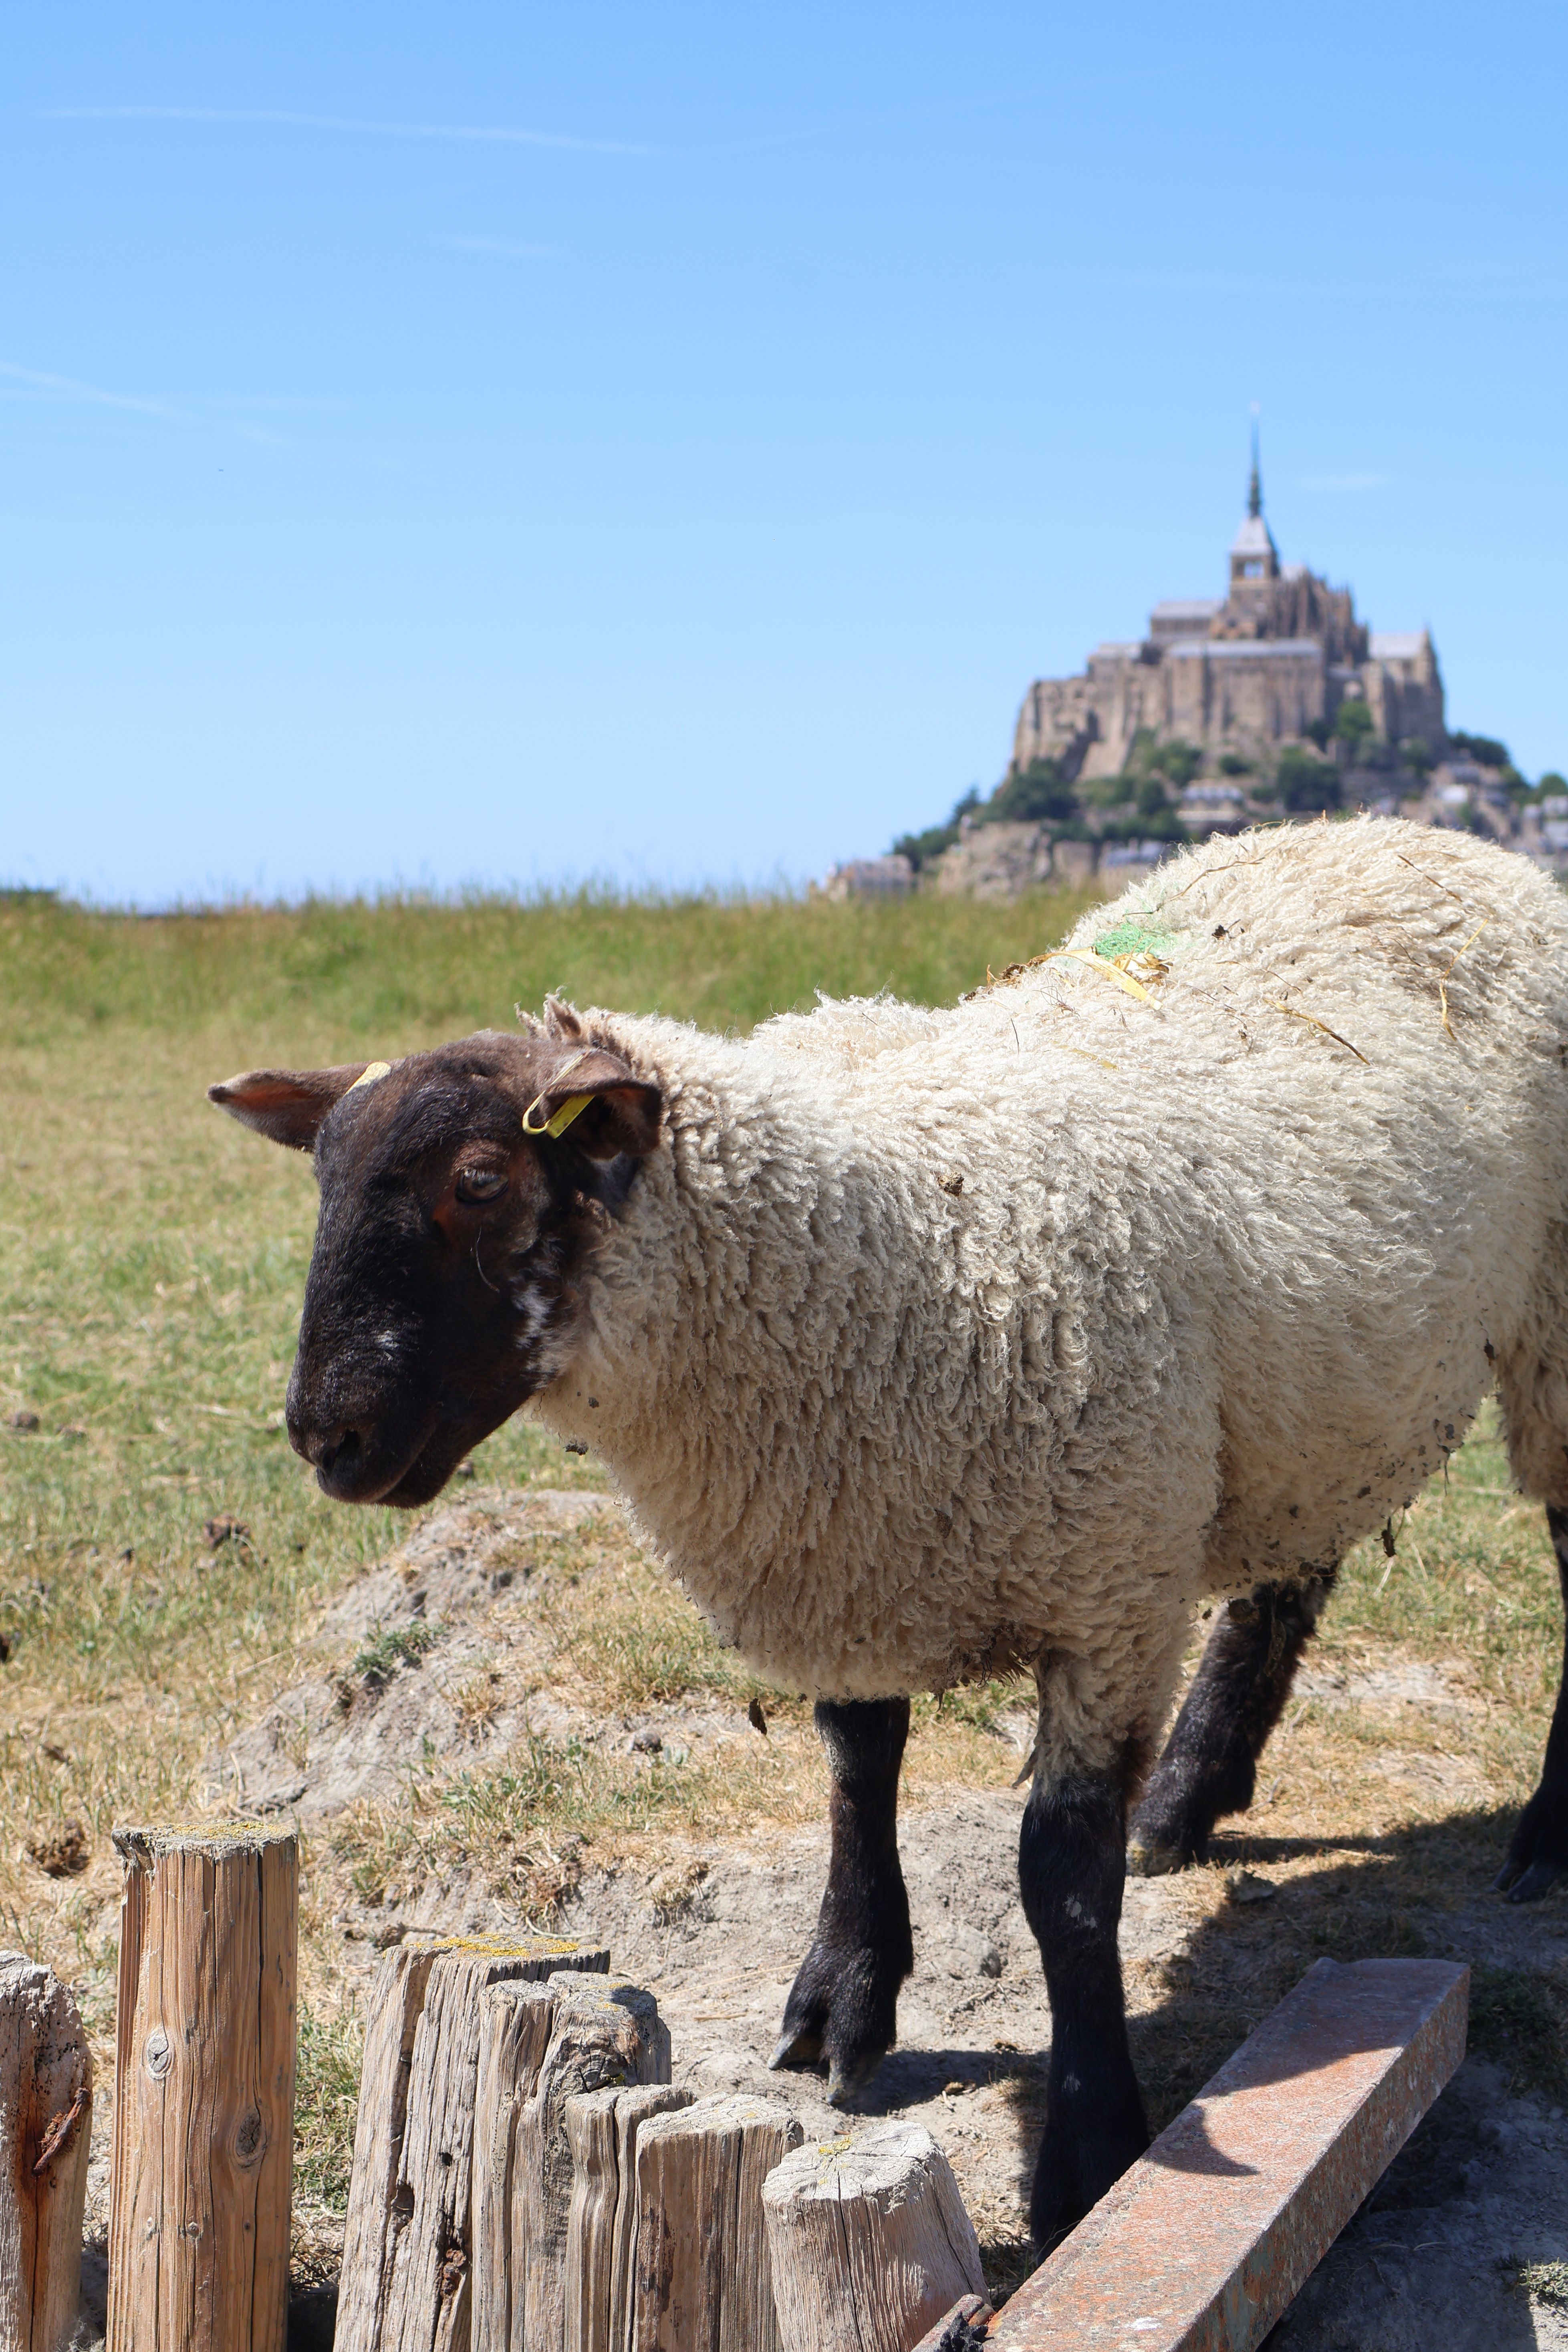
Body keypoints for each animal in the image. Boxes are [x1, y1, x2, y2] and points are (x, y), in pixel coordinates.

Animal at [209, 813, 1568, 2246]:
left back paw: (1539, 1836)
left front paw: (1089, 2143)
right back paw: (1193, 1790)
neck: (881, 1240)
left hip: (1545, 1327)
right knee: (1286, 1575)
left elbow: (1060, 1878)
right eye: (320, 1181)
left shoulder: (1108, 1588)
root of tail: (1421, 835)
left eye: (479, 1178)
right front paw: (844, 1992)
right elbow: (856, 1772)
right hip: (1314, 1394)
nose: (325, 1436)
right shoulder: (848, 1541)